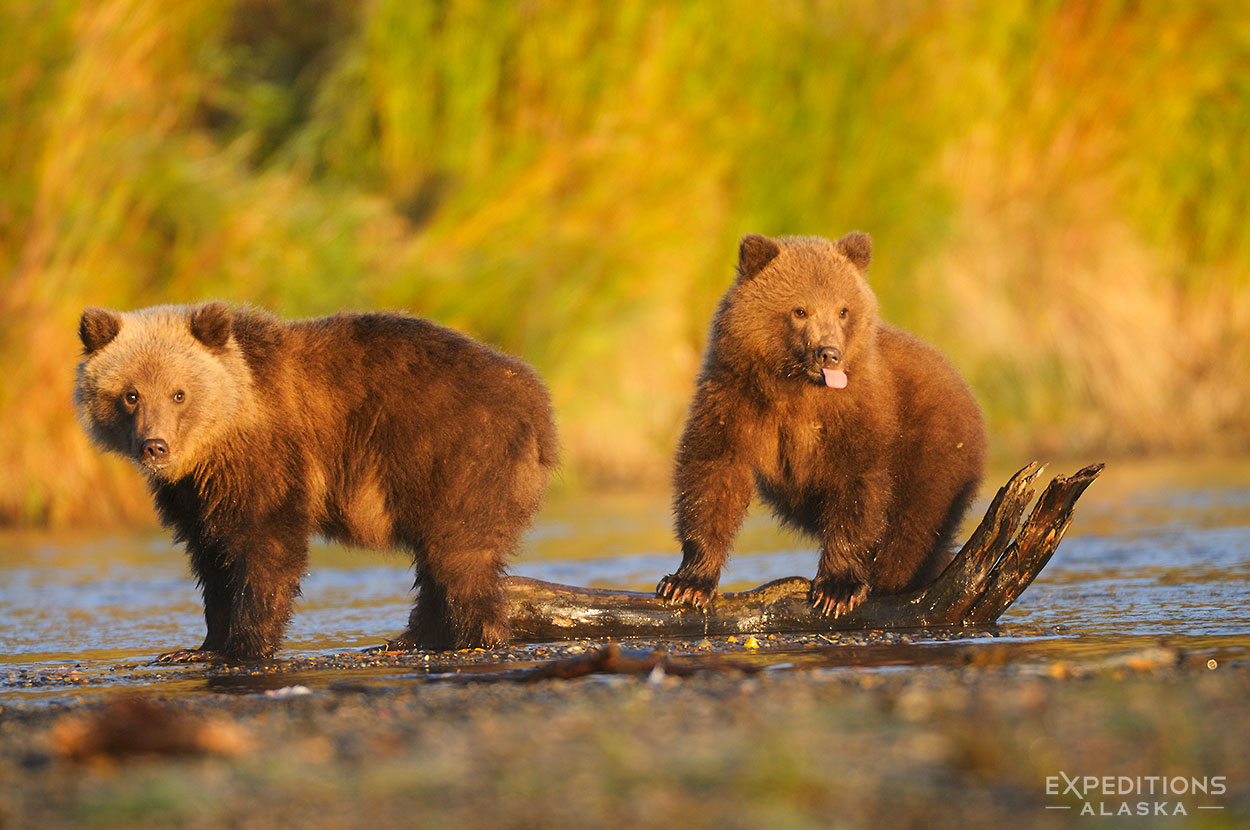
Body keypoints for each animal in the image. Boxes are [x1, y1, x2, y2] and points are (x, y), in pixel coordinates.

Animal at [74, 302, 558, 661]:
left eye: (179, 393)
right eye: (130, 394)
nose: (155, 446)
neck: (222, 438)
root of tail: (537, 398)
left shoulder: (268, 460)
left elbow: (266, 545)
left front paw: (242, 646)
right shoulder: (194, 495)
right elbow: (211, 558)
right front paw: (199, 646)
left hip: (455, 453)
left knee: (458, 552)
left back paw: (472, 636)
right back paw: (408, 639)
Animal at [656, 232, 987, 617]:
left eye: (843, 310)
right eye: (800, 310)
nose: (830, 353)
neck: (794, 386)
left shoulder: (854, 414)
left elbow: (856, 485)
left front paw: (837, 589)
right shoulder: (734, 398)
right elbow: (713, 473)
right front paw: (688, 582)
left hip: (933, 453)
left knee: (911, 535)